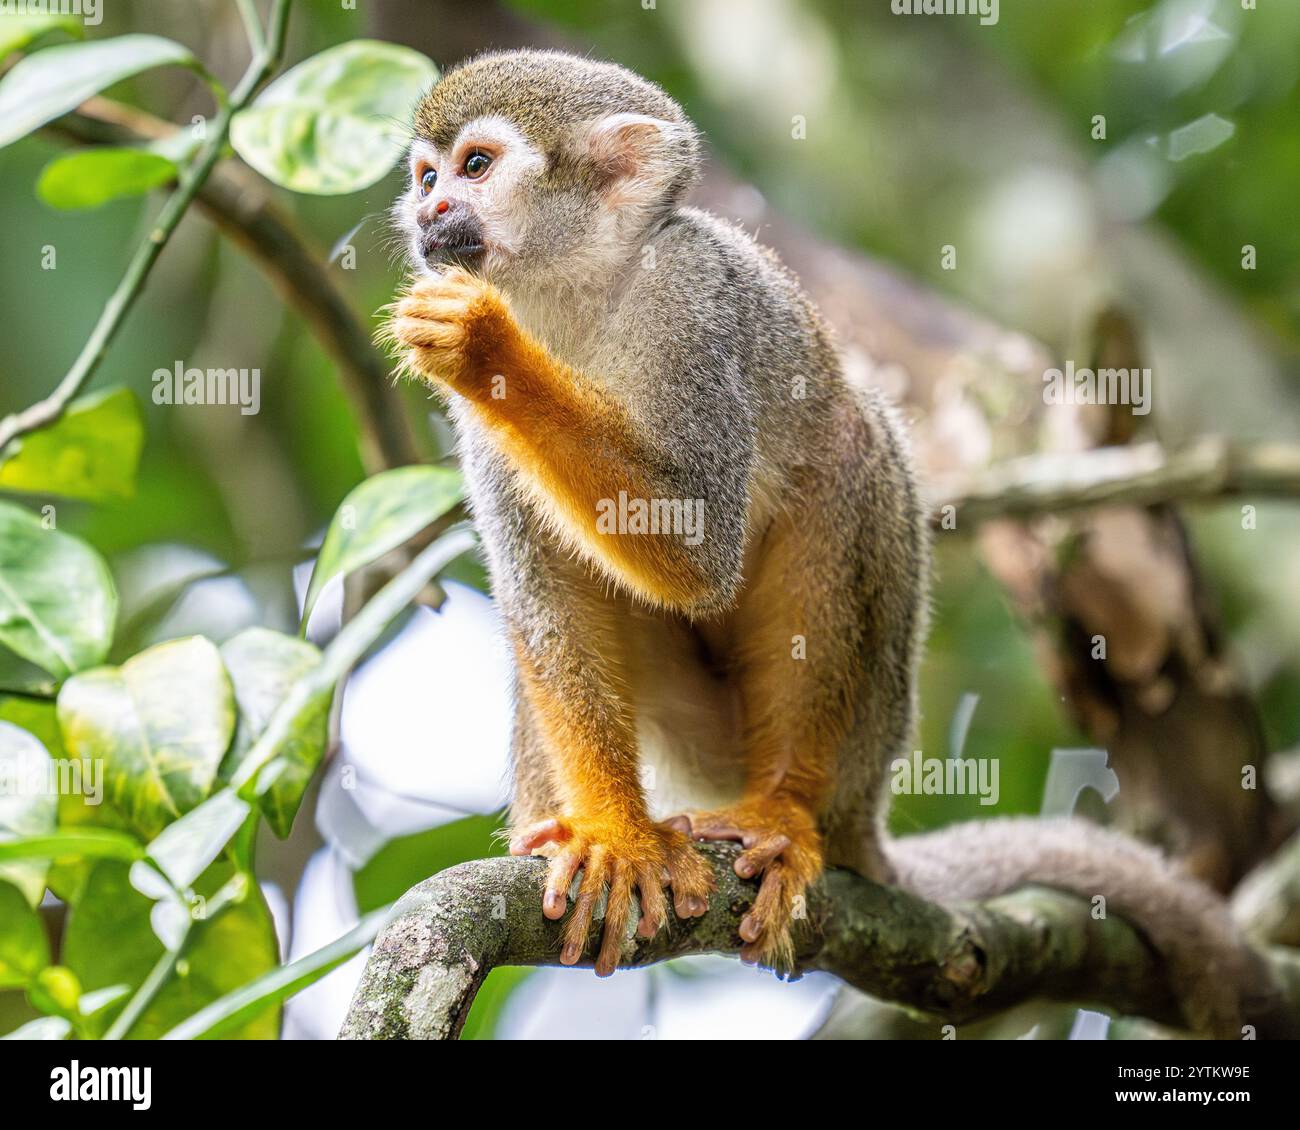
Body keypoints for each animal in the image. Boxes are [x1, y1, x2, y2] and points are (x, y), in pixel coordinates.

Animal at [385, 49, 1274, 1035]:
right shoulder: (476, 431)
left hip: (856, 725)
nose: (428, 213)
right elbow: (552, 610)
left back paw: (787, 813)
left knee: (848, 459)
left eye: (473, 167)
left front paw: (485, 345)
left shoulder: (697, 304)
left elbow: (693, 547)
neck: (574, 296)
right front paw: (614, 835)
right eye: (425, 177)